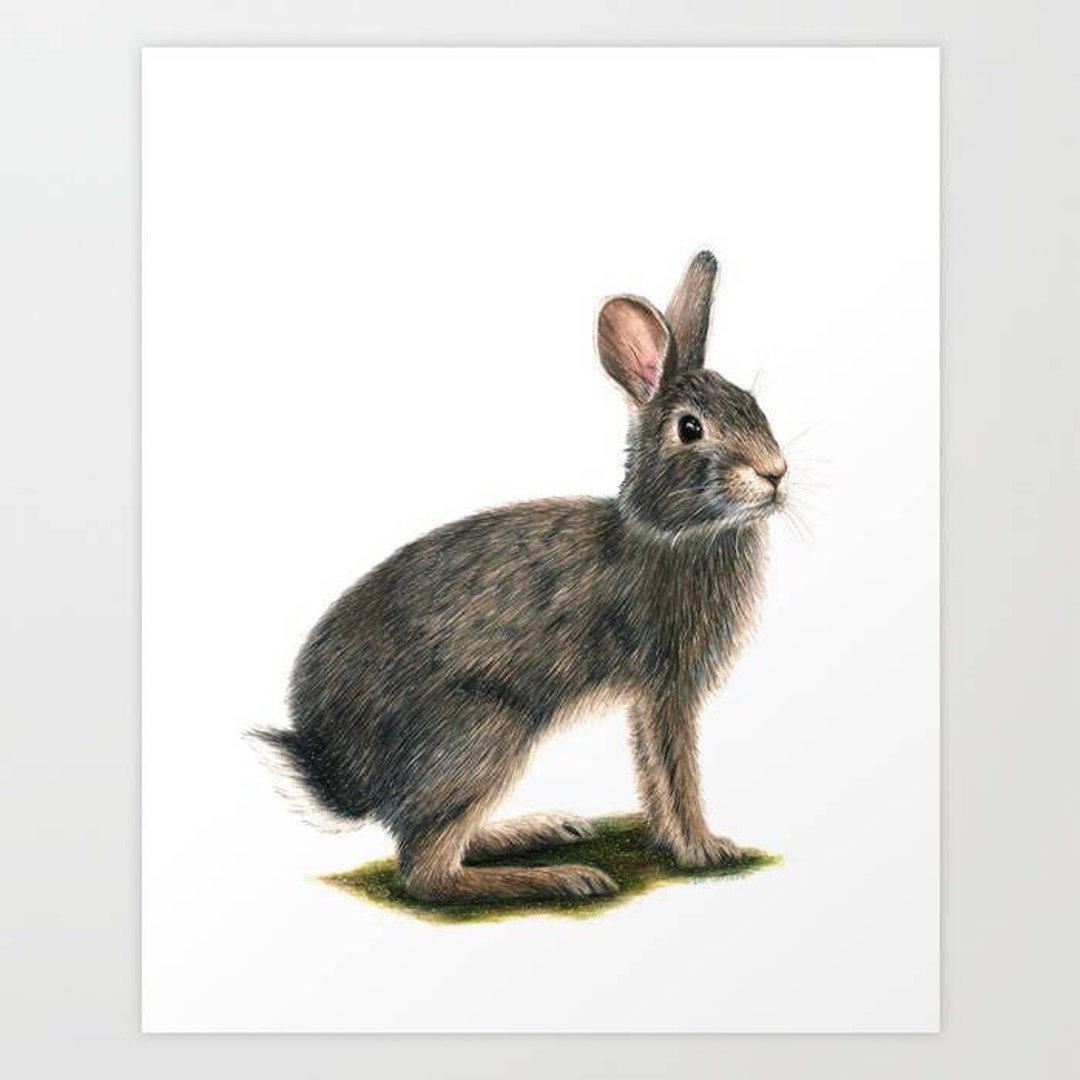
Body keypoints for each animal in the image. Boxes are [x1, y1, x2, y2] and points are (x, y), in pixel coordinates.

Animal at [252, 250, 788, 903]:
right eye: (690, 428)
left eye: (753, 405)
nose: (776, 473)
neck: (671, 530)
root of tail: (331, 769)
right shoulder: (666, 685)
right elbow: (674, 769)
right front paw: (705, 849)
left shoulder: (649, 695)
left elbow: (651, 768)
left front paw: (681, 843)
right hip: (484, 732)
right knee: (426, 872)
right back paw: (562, 876)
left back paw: (545, 830)